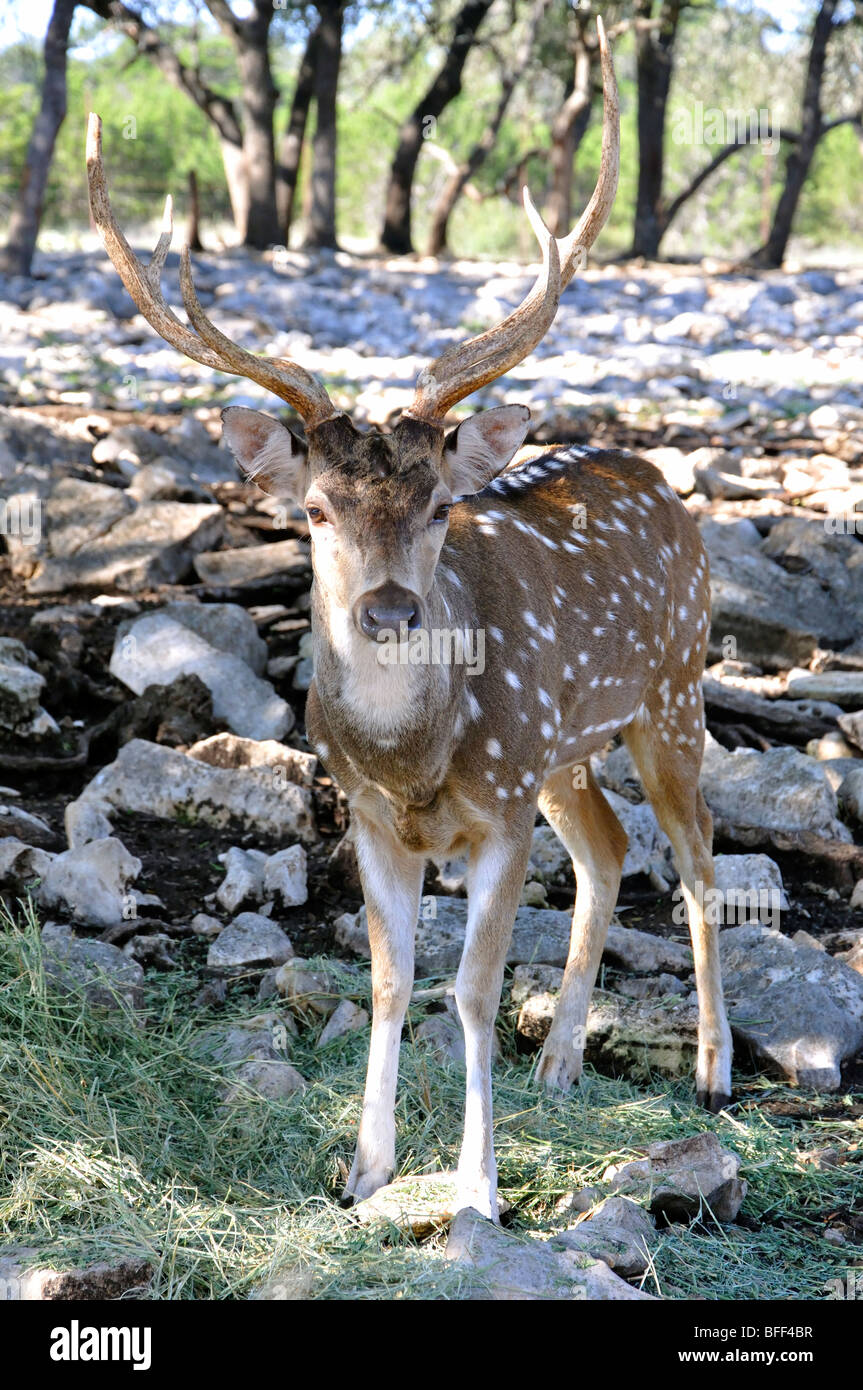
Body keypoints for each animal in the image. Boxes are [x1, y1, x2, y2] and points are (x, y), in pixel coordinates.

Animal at [86, 18, 731, 1224]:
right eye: (314, 507)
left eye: (436, 505)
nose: (387, 605)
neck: (413, 759)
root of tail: (657, 477)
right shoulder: (370, 820)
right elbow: (390, 981)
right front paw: (364, 1170)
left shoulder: (499, 813)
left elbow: (471, 990)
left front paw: (477, 1188)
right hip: (561, 753)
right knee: (609, 848)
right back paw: (559, 1062)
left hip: (670, 691)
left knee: (700, 856)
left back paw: (712, 1071)